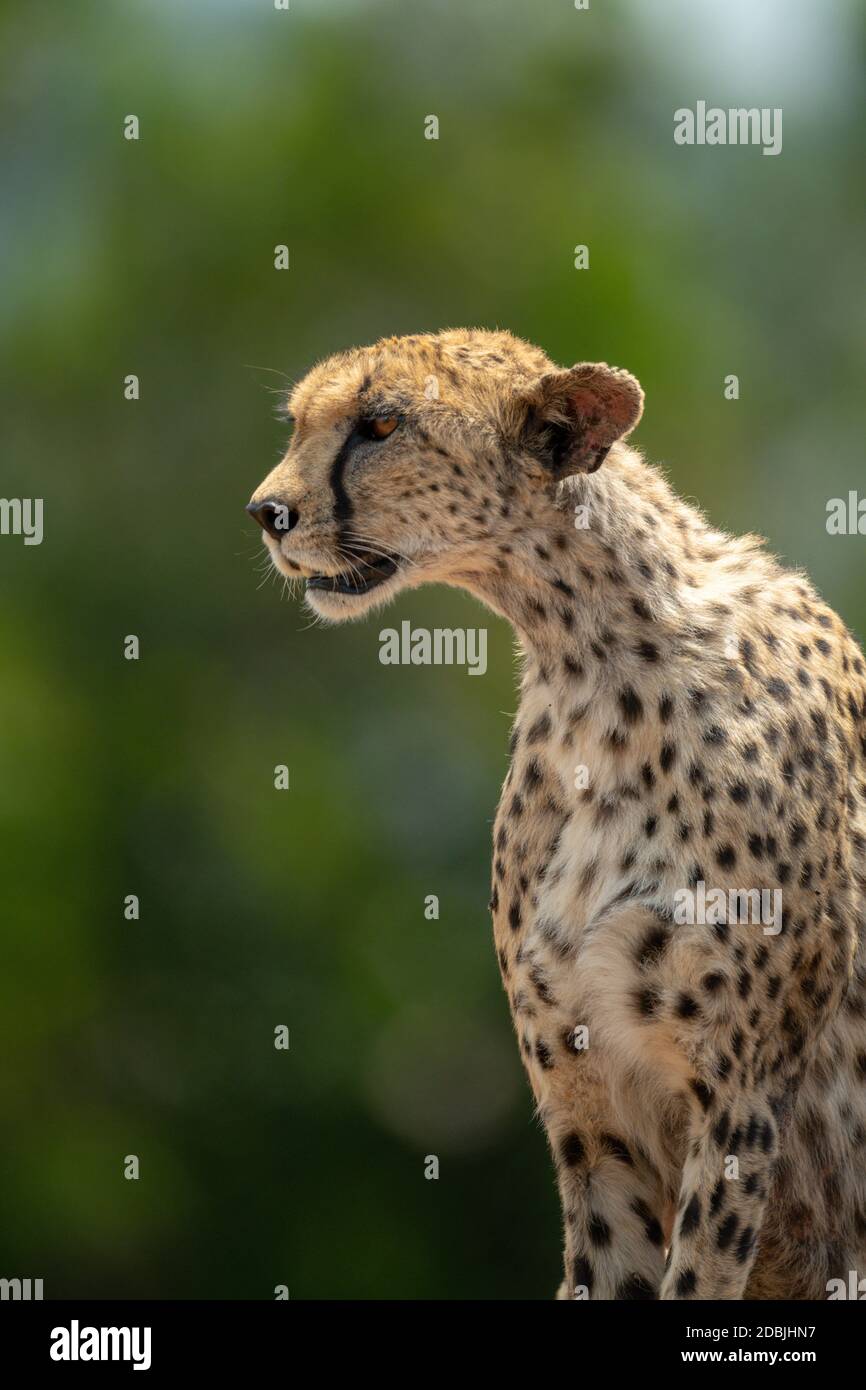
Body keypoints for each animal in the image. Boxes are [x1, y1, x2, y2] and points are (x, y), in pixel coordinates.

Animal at [247, 328, 866, 1300]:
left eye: (380, 424)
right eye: (299, 422)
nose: (266, 512)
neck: (592, 656)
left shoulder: (740, 1100)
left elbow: (698, 1276)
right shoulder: (589, 1110)